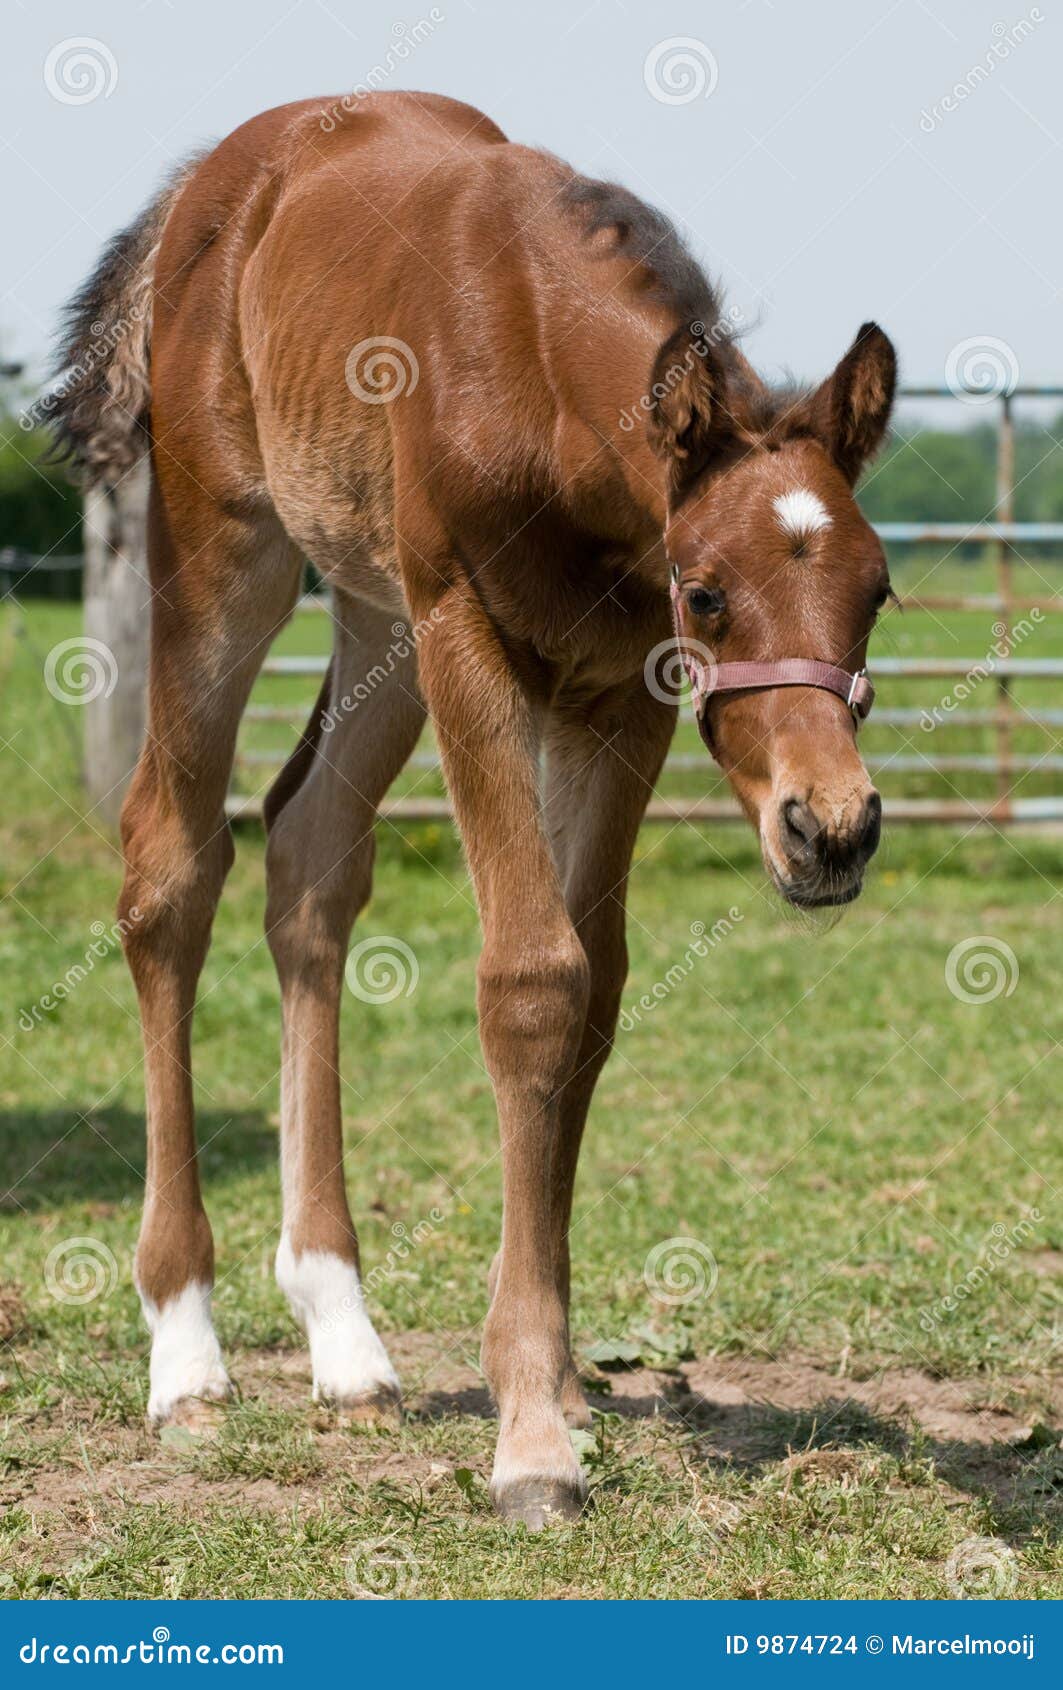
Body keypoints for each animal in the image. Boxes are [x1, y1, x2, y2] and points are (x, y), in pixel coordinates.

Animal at [52, 91, 895, 1529]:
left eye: (877, 591)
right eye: (710, 591)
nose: (827, 829)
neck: (542, 384)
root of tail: (223, 177)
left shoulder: (618, 691)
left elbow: (595, 991)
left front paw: (551, 1387)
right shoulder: (469, 636)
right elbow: (531, 982)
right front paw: (532, 1443)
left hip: (374, 610)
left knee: (310, 853)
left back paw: (342, 1329)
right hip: (229, 553)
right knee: (169, 865)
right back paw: (185, 1348)